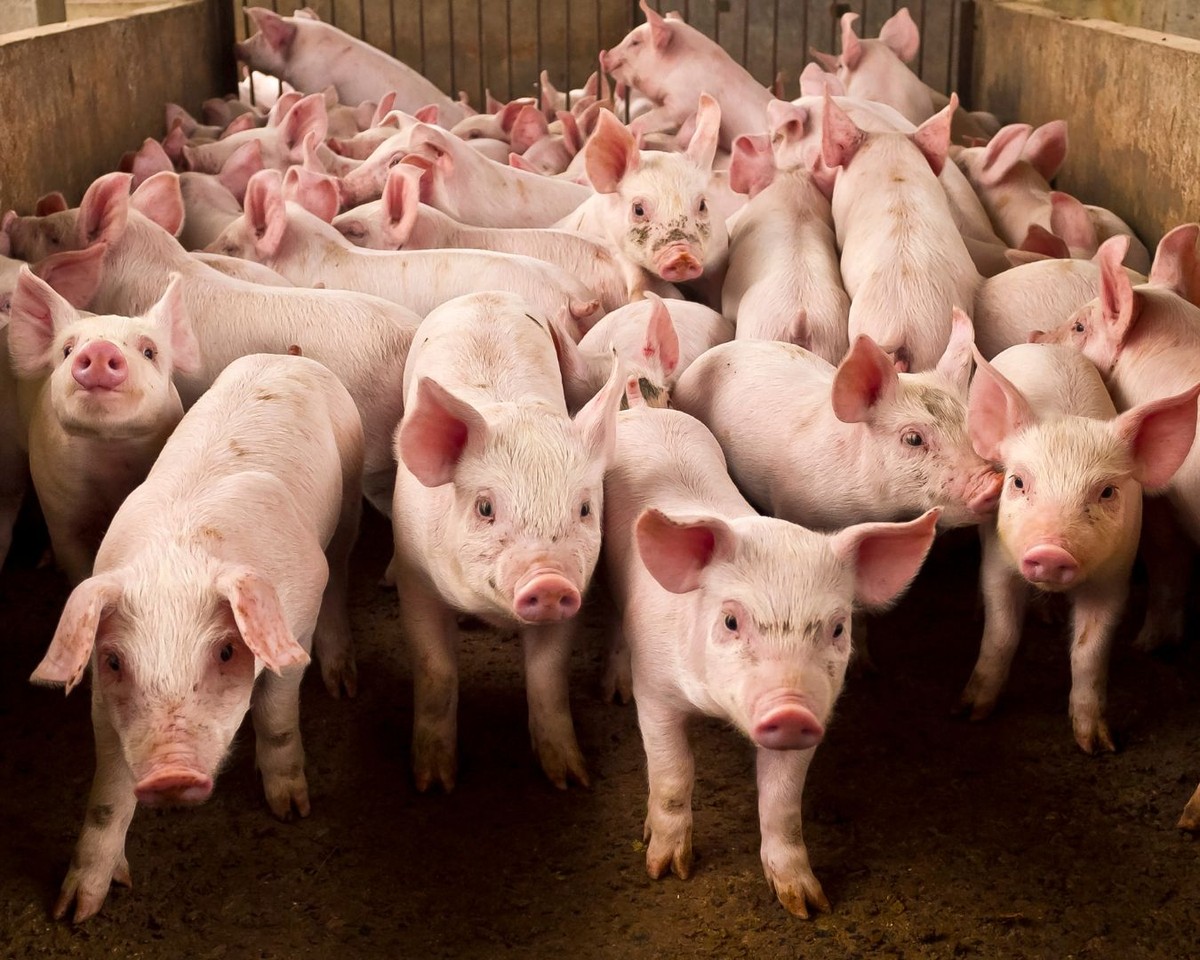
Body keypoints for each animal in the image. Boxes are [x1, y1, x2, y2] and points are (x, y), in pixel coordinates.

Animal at [30, 353, 363, 922]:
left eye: (227, 651)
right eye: (114, 661)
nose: (171, 774)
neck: (178, 559)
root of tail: (288, 355)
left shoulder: (292, 628)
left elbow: (276, 716)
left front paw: (291, 810)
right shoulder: (103, 701)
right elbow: (108, 796)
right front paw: (75, 911)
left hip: (351, 491)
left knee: (340, 572)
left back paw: (344, 684)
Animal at [391, 292, 623, 791]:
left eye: (583, 509)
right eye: (484, 507)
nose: (549, 581)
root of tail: (486, 294)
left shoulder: (579, 591)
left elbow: (548, 677)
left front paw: (571, 780)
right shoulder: (414, 578)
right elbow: (435, 669)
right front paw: (434, 785)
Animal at [603, 396, 938, 916]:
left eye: (837, 627)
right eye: (730, 621)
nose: (791, 710)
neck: (715, 709)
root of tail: (645, 408)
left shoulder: (815, 719)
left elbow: (782, 803)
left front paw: (807, 904)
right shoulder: (655, 691)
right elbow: (673, 772)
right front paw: (666, 870)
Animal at [962, 343, 1199, 753]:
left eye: (1107, 492)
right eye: (1018, 482)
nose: (1051, 552)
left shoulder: (1114, 577)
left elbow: (1089, 652)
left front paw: (1098, 746)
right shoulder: (999, 561)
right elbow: (1001, 633)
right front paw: (970, 712)